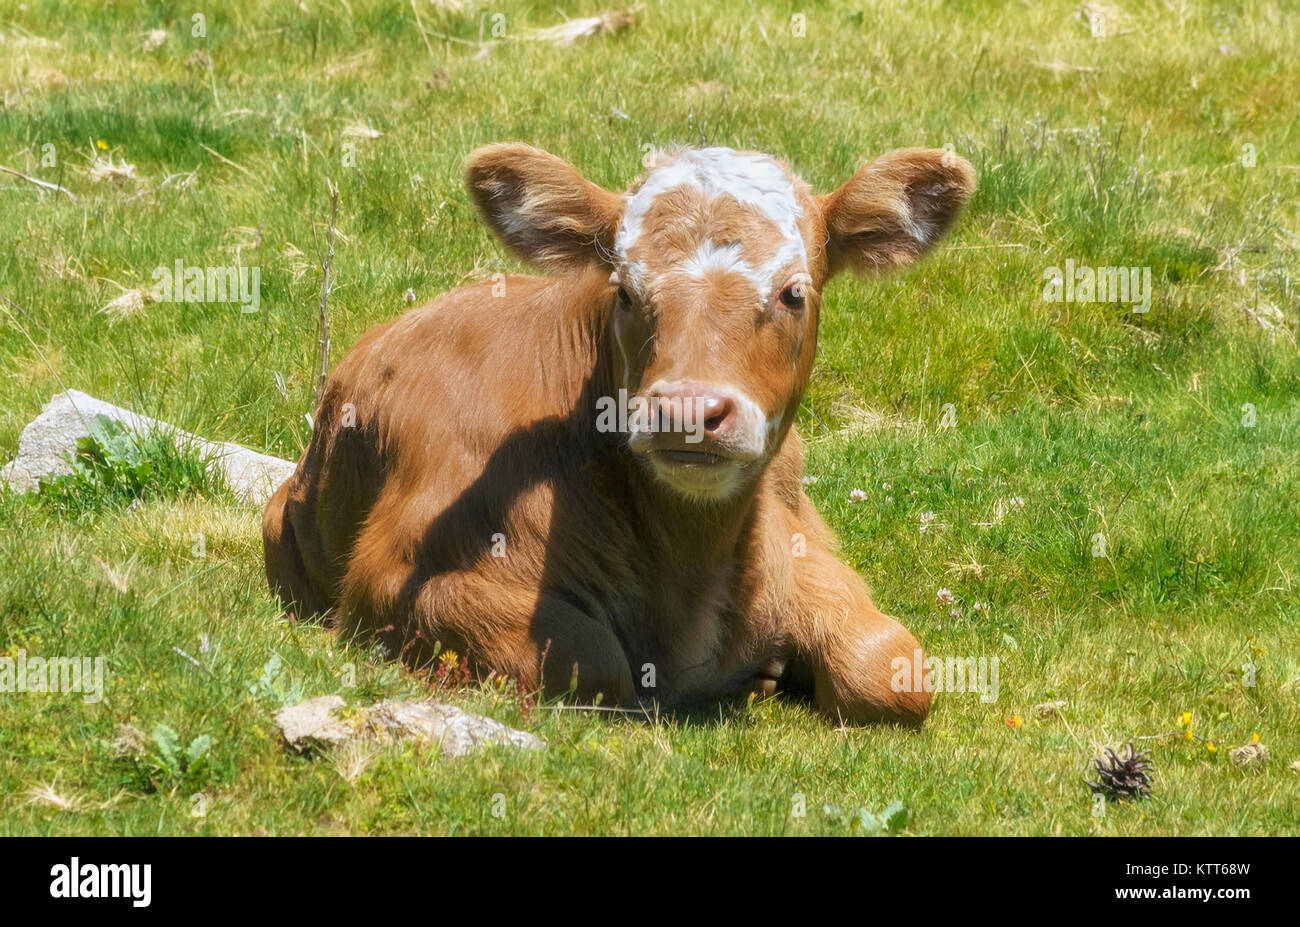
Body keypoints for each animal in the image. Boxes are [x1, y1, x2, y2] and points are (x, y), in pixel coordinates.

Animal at [263, 142, 975, 725]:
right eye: (627, 292)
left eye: (794, 293)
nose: (687, 411)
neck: (688, 565)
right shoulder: (392, 579)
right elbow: (593, 661)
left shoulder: (805, 548)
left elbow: (892, 670)